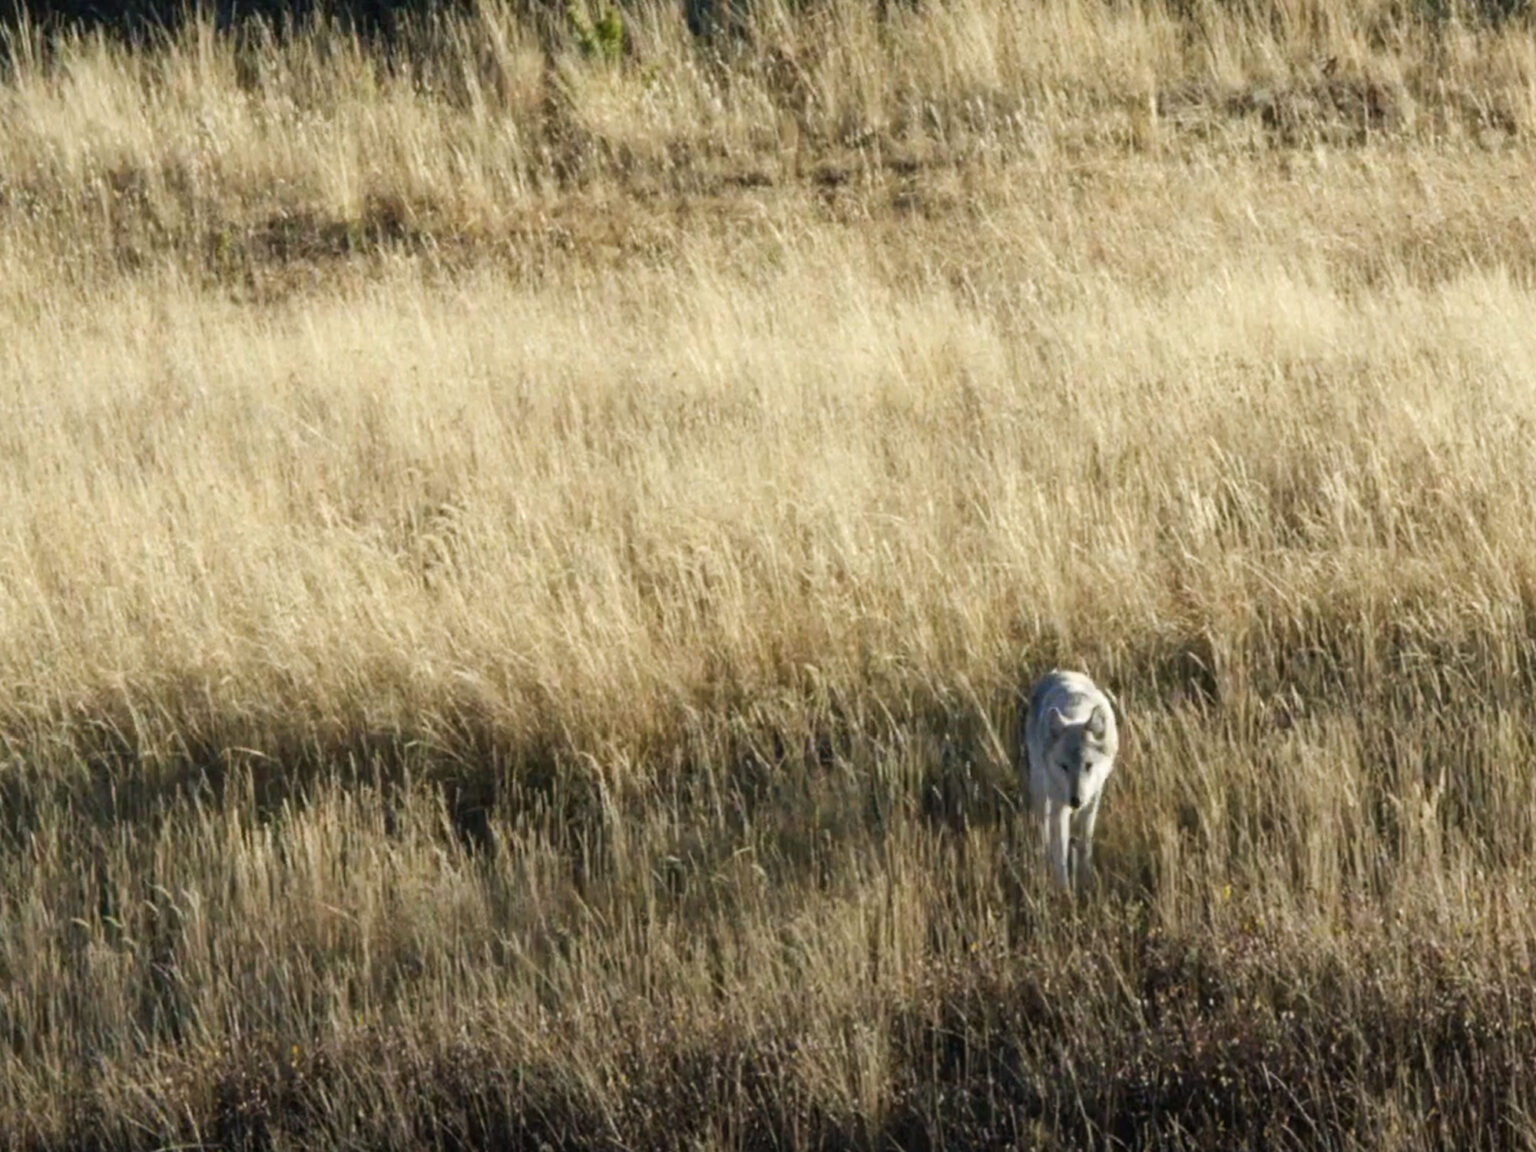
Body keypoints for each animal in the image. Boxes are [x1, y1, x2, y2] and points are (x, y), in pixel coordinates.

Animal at [1022, 670, 1120, 890]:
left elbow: (1085, 843)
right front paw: (1064, 892)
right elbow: (1060, 854)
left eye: (1088, 765)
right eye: (1063, 766)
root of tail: (1059, 672)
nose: (1075, 801)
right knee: (1043, 828)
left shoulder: (1093, 798)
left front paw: (1086, 879)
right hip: (1040, 789)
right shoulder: (1059, 804)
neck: (1076, 712)